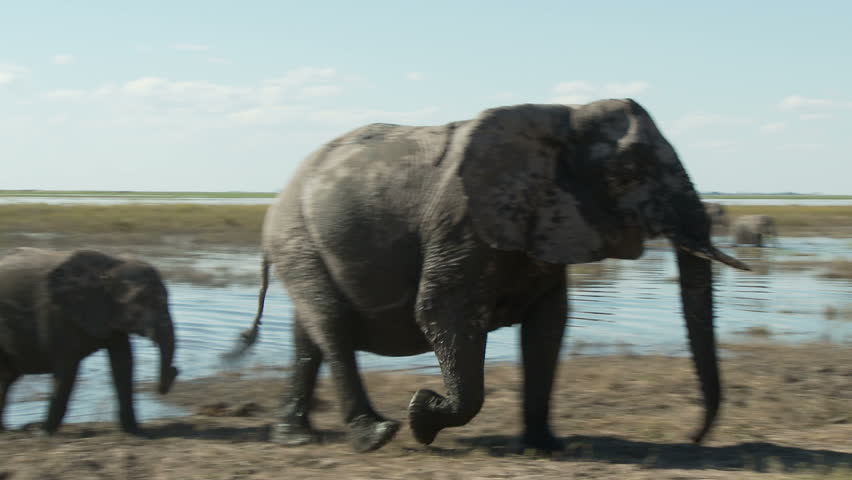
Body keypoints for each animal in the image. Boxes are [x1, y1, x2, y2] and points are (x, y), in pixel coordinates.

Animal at [0, 247, 178, 435]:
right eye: (143, 299)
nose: (175, 371)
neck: (110, 268)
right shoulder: (58, 314)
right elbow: (67, 369)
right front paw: (42, 433)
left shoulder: (108, 313)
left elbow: (124, 362)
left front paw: (135, 432)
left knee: (6, 378)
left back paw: (4, 430)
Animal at [226, 98, 750, 453]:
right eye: (633, 168)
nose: (693, 438)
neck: (564, 116)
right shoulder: (463, 221)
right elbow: (442, 312)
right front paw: (422, 414)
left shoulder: (545, 221)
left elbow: (549, 326)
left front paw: (546, 447)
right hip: (296, 236)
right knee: (331, 327)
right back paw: (375, 434)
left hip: (304, 243)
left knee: (309, 335)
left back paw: (296, 438)